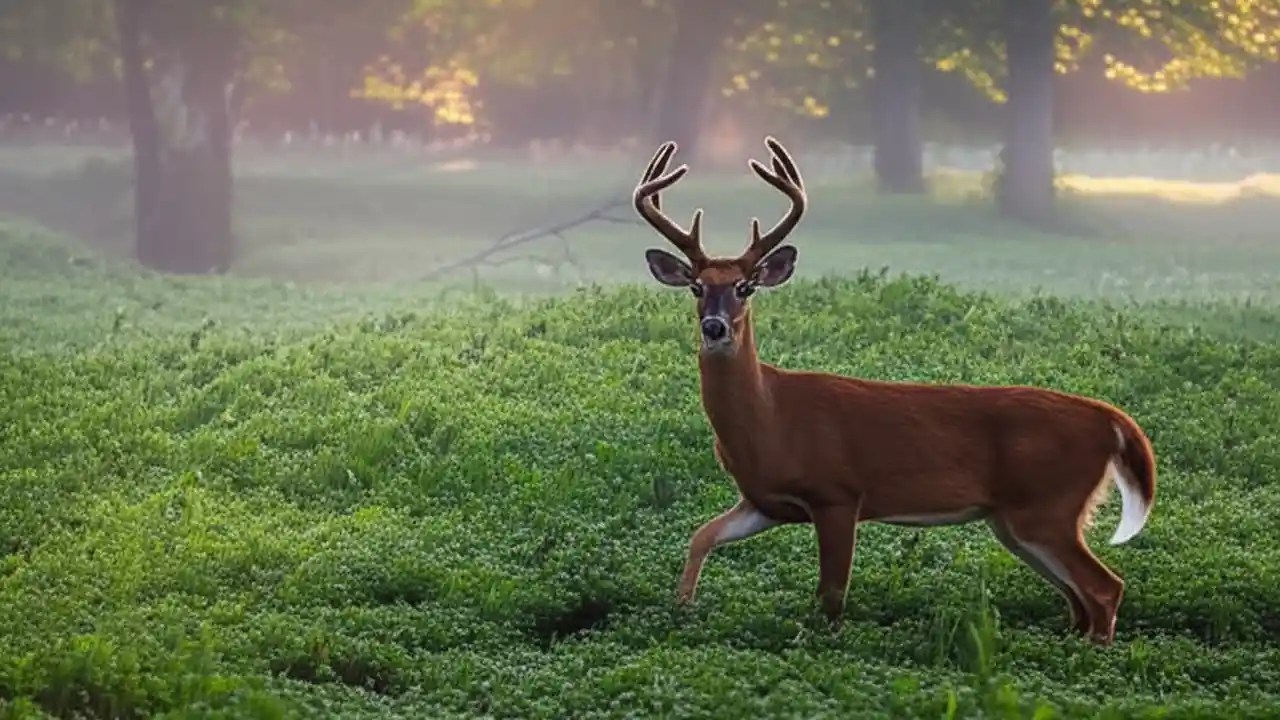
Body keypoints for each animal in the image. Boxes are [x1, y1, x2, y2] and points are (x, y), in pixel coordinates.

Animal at [632, 137, 1157, 646]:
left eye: (745, 287)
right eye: (696, 287)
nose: (715, 328)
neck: (770, 419)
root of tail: (1111, 419)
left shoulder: (838, 493)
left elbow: (831, 596)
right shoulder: (764, 501)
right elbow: (701, 536)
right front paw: (682, 607)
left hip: (1047, 505)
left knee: (1104, 588)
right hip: (1014, 521)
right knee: (1079, 599)